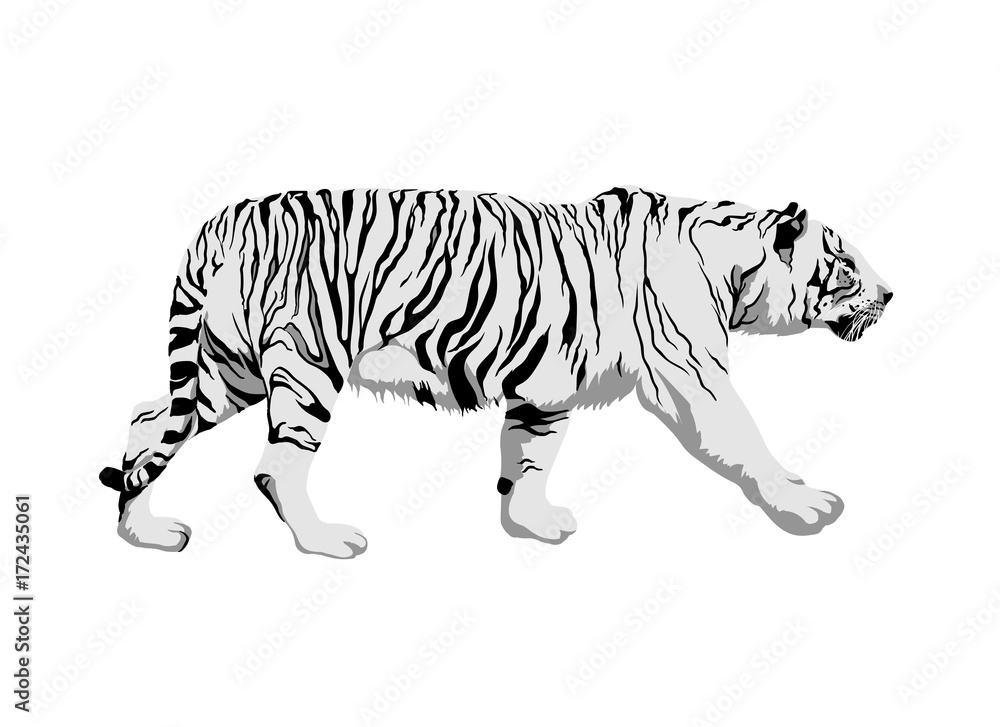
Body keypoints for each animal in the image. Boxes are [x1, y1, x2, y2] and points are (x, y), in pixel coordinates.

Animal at [99, 186, 892, 558]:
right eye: (847, 265)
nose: (890, 296)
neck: (734, 268)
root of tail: (219, 220)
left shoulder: (546, 389)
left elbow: (529, 458)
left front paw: (530, 522)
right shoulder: (692, 374)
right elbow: (746, 435)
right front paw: (805, 503)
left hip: (221, 370)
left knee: (147, 424)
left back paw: (145, 532)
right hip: (304, 367)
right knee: (273, 468)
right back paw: (327, 540)